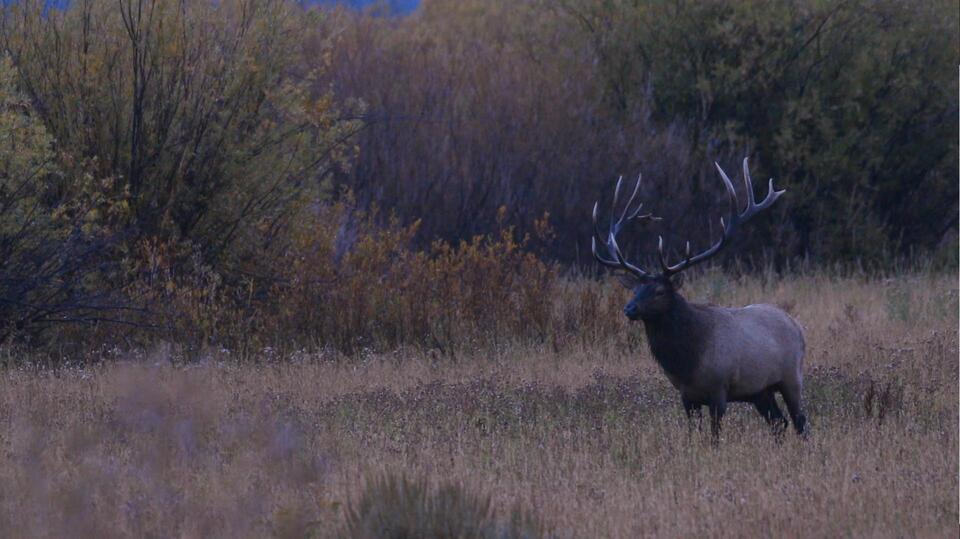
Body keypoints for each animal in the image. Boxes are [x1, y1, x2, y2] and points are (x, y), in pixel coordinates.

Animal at [591, 158, 806, 440]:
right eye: (635, 289)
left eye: (660, 291)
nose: (629, 308)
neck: (687, 363)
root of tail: (797, 326)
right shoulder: (686, 396)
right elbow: (694, 434)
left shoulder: (719, 390)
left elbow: (715, 436)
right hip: (760, 391)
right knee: (779, 422)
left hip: (792, 377)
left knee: (800, 421)